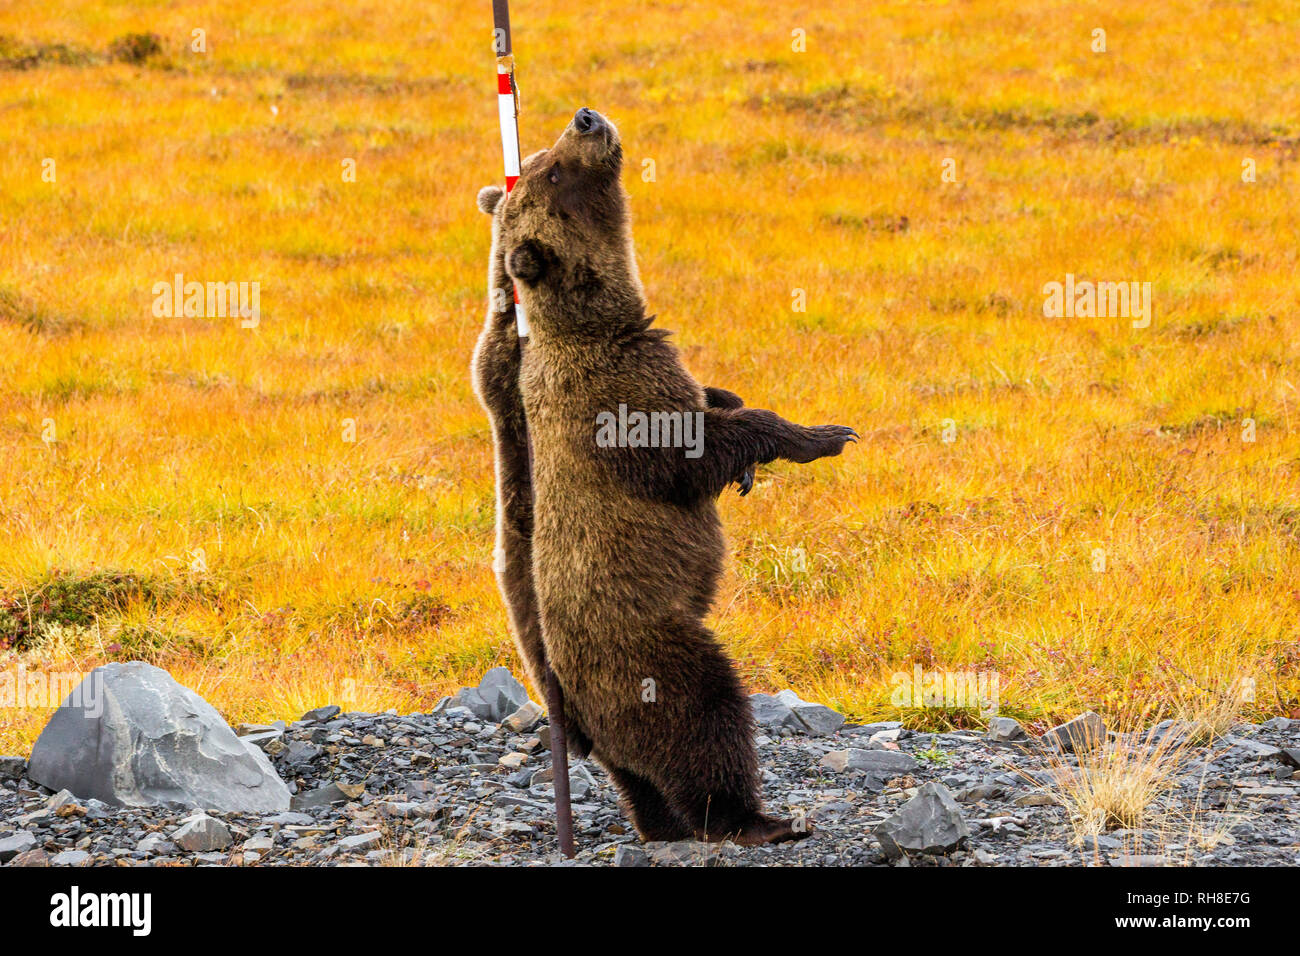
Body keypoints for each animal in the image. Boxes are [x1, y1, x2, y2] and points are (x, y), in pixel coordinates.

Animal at [482, 107, 857, 845]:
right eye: (553, 171)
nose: (586, 118)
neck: (600, 320)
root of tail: (577, 714)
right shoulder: (617, 401)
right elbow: (689, 454)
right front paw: (821, 436)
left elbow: (712, 408)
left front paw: (737, 415)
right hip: (651, 651)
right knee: (706, 715)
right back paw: (760, 819)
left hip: (612, 724)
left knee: (640, 776)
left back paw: (663, 824)